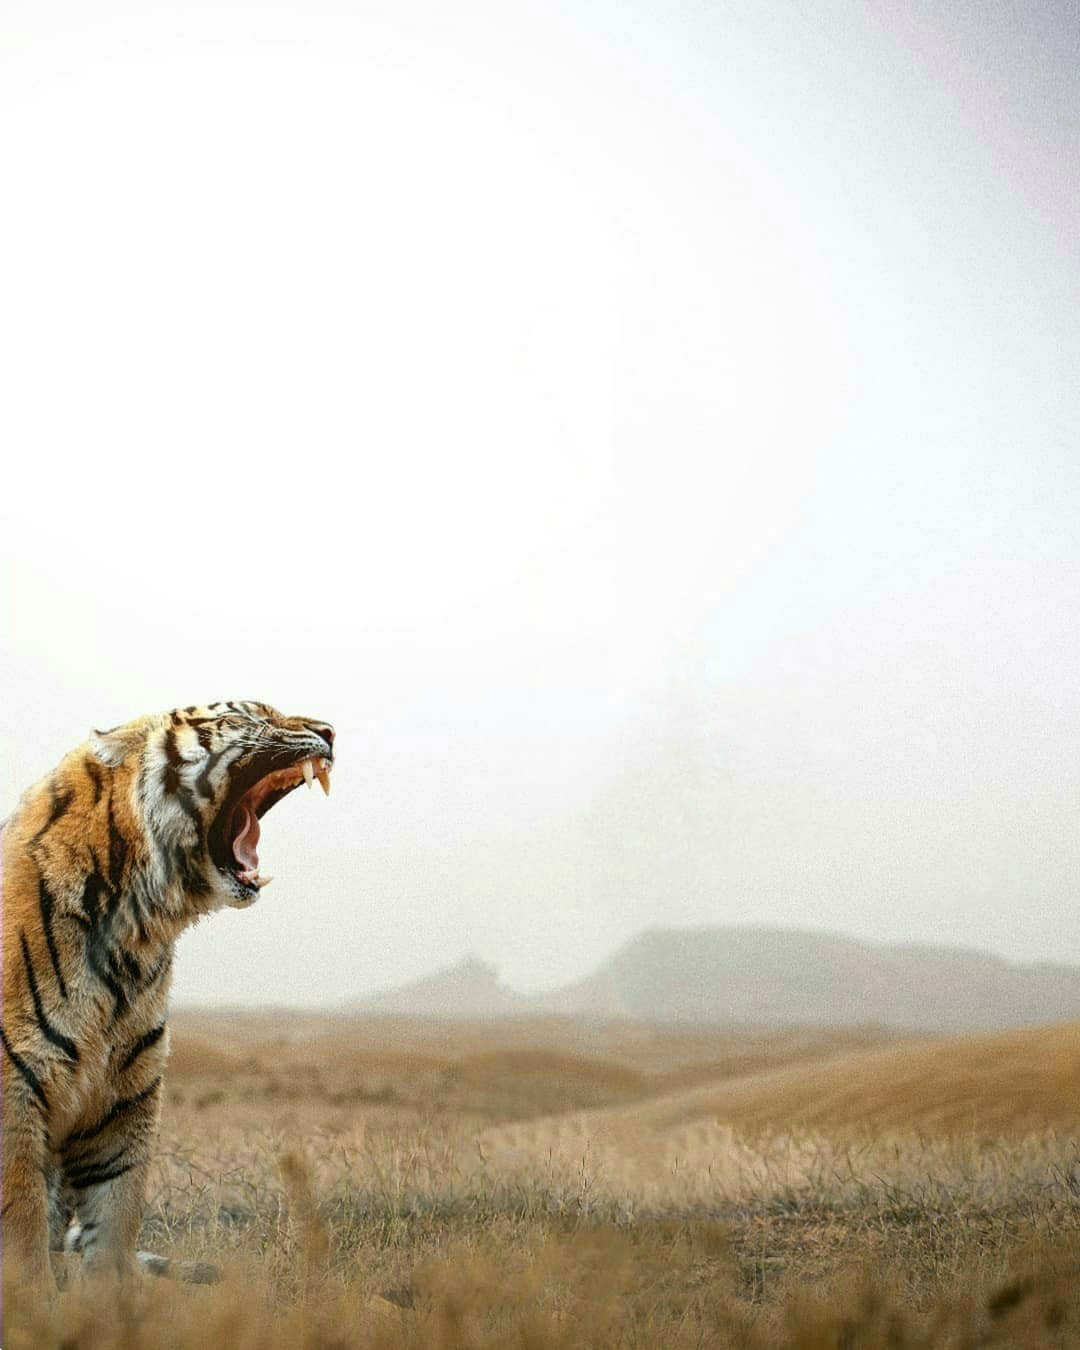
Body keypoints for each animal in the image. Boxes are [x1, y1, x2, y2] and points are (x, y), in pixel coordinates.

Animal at [1, 701, 334, 1286]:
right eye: (254, 713)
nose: (330, 732)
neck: (135, 929)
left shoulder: (125, 1098)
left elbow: (114, 1225)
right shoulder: (14, 1097)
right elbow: (22, 1239)